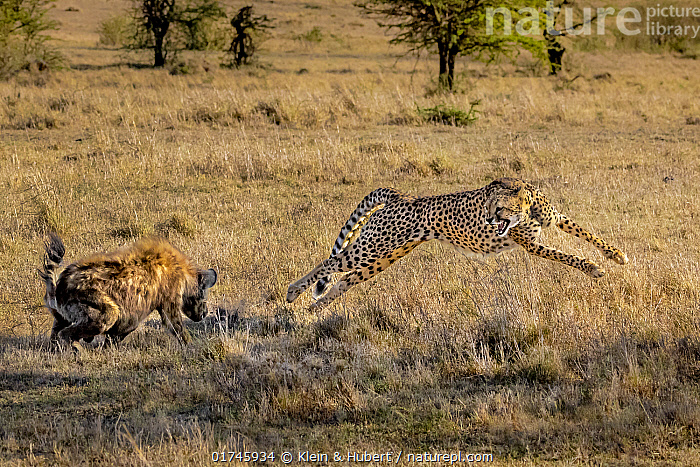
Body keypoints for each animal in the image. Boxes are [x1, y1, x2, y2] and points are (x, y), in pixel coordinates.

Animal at [286, 178, 628, 309]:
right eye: (488, 206)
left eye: (498, 208)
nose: (489, 221)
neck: (526, 206)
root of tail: (403, 195)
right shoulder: (532, 245)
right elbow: (567, 256)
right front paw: (593, 268)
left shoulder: (557, 219)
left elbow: (588, 234)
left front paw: (616, 255)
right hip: (373, 247)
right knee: (330, 262)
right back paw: (293, 293)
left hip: (382, 258)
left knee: (346, 280)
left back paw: (315, 310)